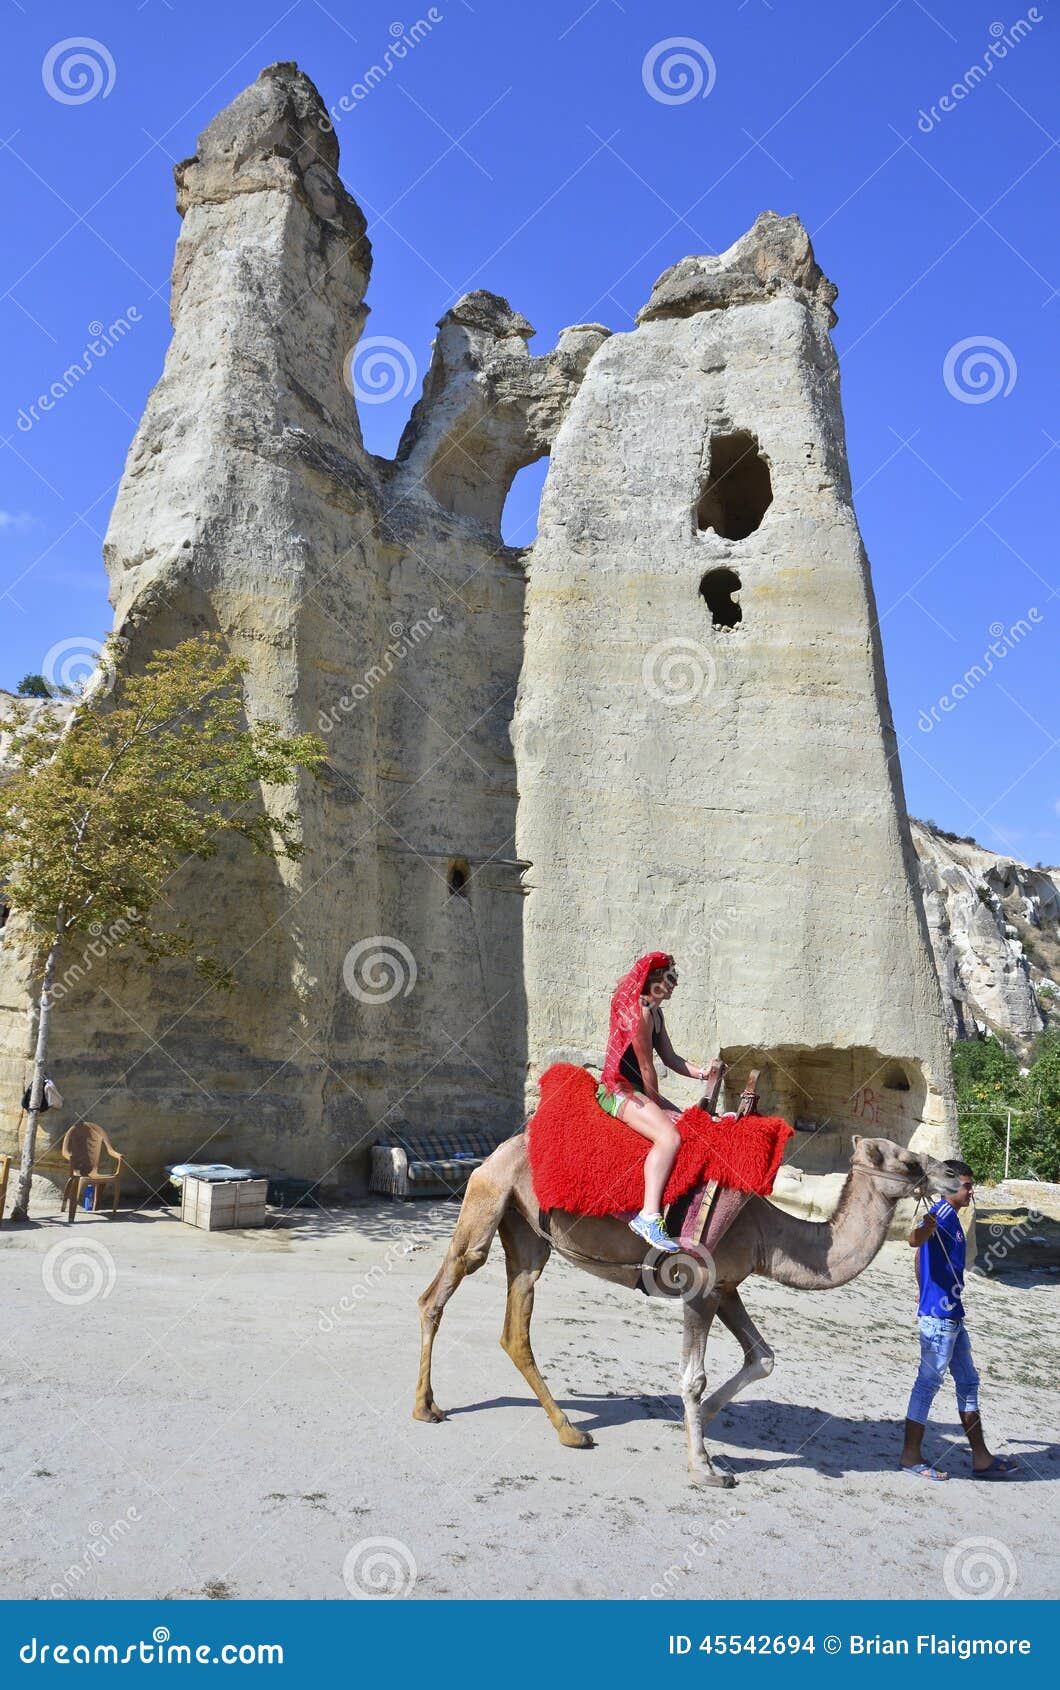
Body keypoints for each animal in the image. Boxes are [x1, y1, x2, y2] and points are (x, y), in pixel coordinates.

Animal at [413, 1120, 960, 1485]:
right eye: (910, 1162)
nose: (959, 1173)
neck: (767, 1231)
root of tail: (495, 1152)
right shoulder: (698, 1285)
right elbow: (692, 1375)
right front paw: (705, 1467)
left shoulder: (727, 1287)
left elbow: (762, 1357)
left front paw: (702, 1422)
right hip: (488, 1200)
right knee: (439, 1291)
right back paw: (425, 1408)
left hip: (528, 1234)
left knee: (514, 1326)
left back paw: (569, 1431)